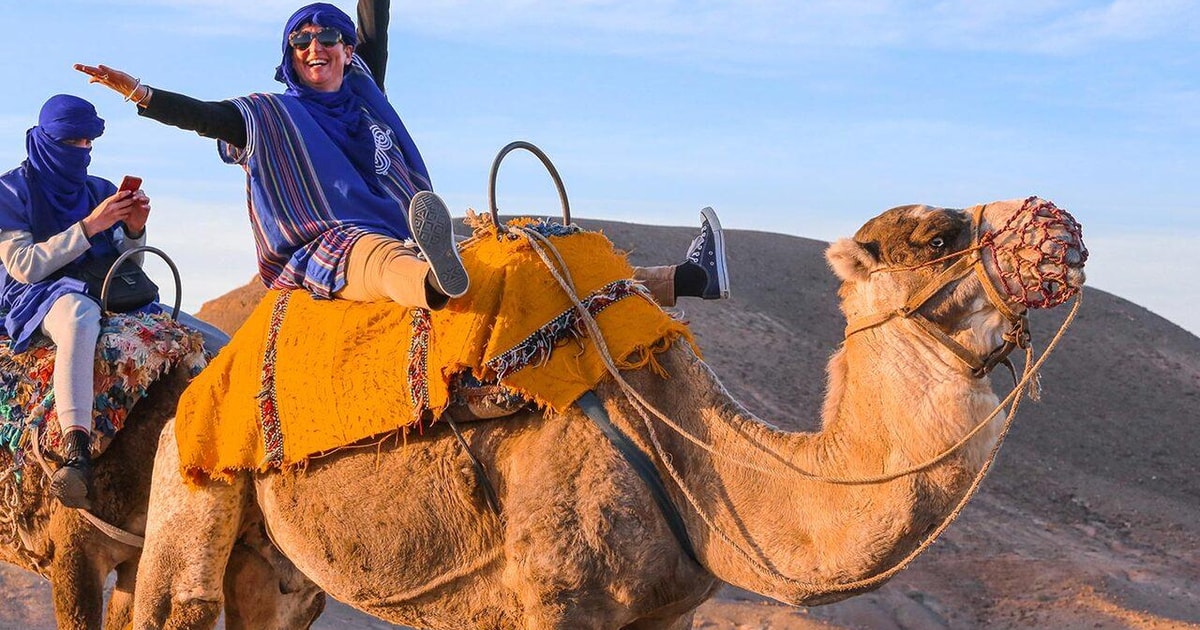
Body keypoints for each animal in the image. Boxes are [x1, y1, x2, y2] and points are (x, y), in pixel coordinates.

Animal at [130, 197, 1087, 629]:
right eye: (939, 236)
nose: (1064, 230)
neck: (698, 457)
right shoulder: (556, 598)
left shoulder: (667, 609)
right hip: (194, 478)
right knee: (173, 600)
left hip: (281, 566)